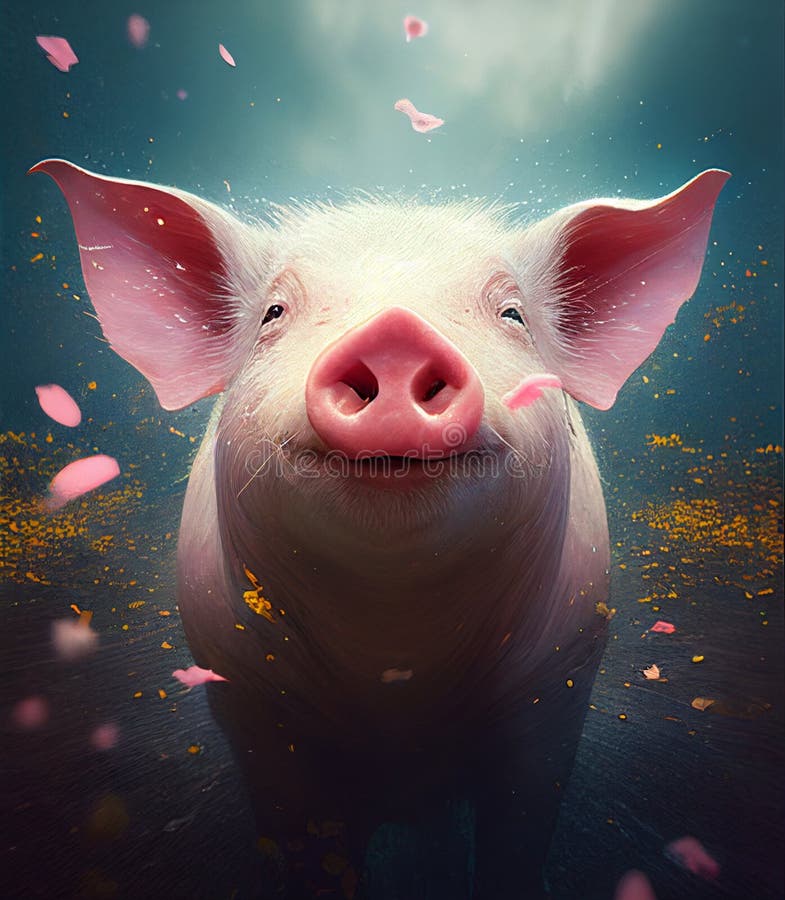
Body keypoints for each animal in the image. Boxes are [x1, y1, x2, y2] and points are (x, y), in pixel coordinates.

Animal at [31, 159, 728, 899]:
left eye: (511, 314)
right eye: (274, 313)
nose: (394, 332)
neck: (395, 648)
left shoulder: (559, 686)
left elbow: (517, 835)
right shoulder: (253, 707)